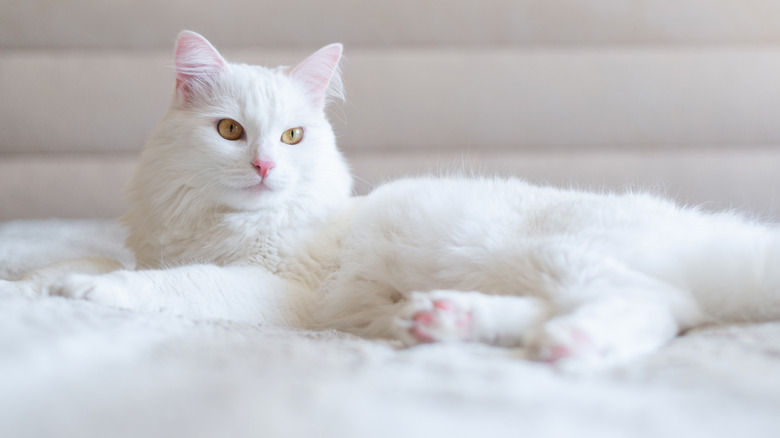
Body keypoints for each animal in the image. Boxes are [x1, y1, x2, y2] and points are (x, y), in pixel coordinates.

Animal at [6, 29, 780, 368]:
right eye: (229, 131)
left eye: (292, 136)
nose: (264, 165)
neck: (216, 221)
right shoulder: (155, 249)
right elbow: (92, 265)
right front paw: (30, 285)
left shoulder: (282, 291)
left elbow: (166, 285)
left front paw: (86, 292)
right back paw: (440, 321)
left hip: (558, 250)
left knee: (659, 306)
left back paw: (572, 344)